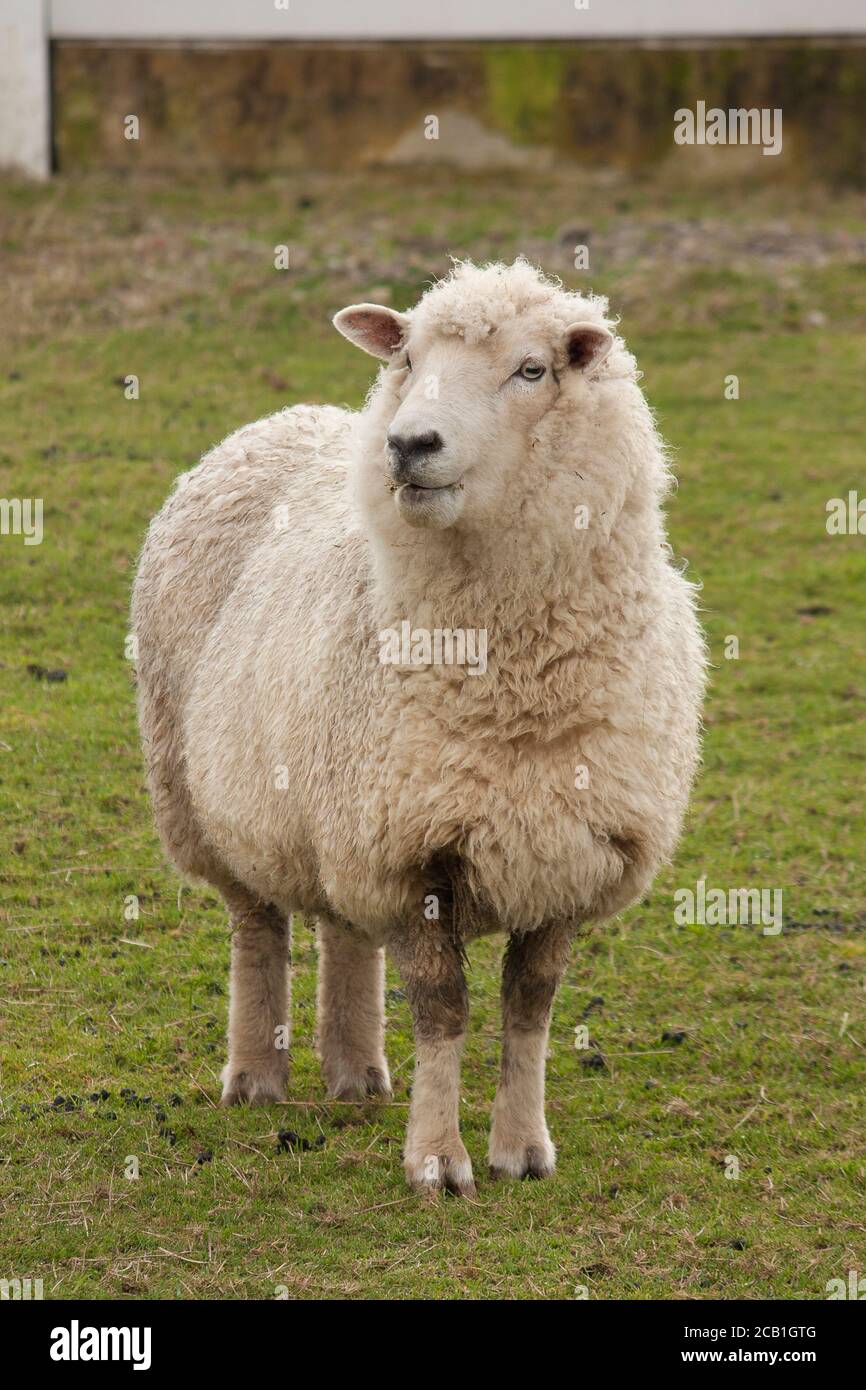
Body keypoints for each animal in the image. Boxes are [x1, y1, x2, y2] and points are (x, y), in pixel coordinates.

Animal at [132, 258, 705, 1196]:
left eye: (532, 369)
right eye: (407, 359)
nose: (408, 444)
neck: (514, 683)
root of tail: (286, 418)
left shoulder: (570, 854)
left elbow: (529, 1007)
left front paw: (524, 1150)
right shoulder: (411, 855)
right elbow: (443, 1011)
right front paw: (438, 1160)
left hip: (334, 804)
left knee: (339, 926)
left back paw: (356, 1073)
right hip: (210, 802)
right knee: (258, 927)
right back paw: (256, 1075)